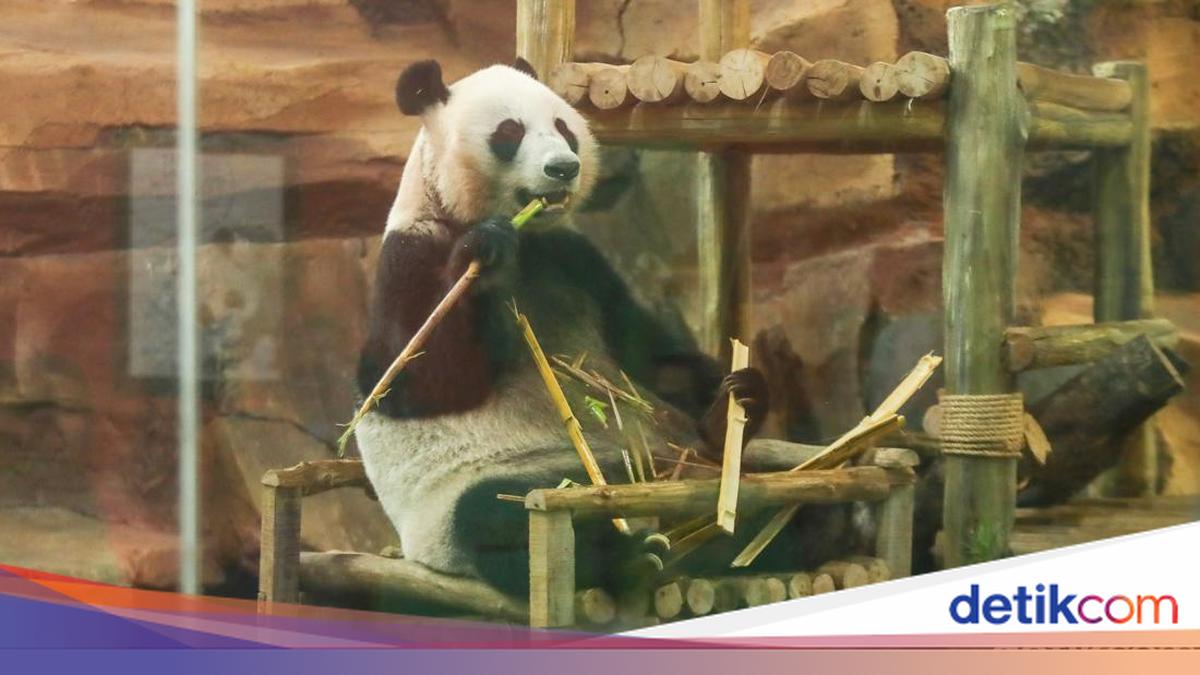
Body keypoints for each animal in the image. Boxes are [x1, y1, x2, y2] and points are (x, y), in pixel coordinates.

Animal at [354, 58, 812, 599]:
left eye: (564, 128)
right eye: (509, 133)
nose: (563, 167)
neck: (523, 239)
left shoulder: (573, 259)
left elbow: (646, 358)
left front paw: (735, 399)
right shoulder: (412, 254)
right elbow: (408, 381)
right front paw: (481, 253)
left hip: (683, 464)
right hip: (488, 492)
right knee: (493, 515)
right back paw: (633, 559)